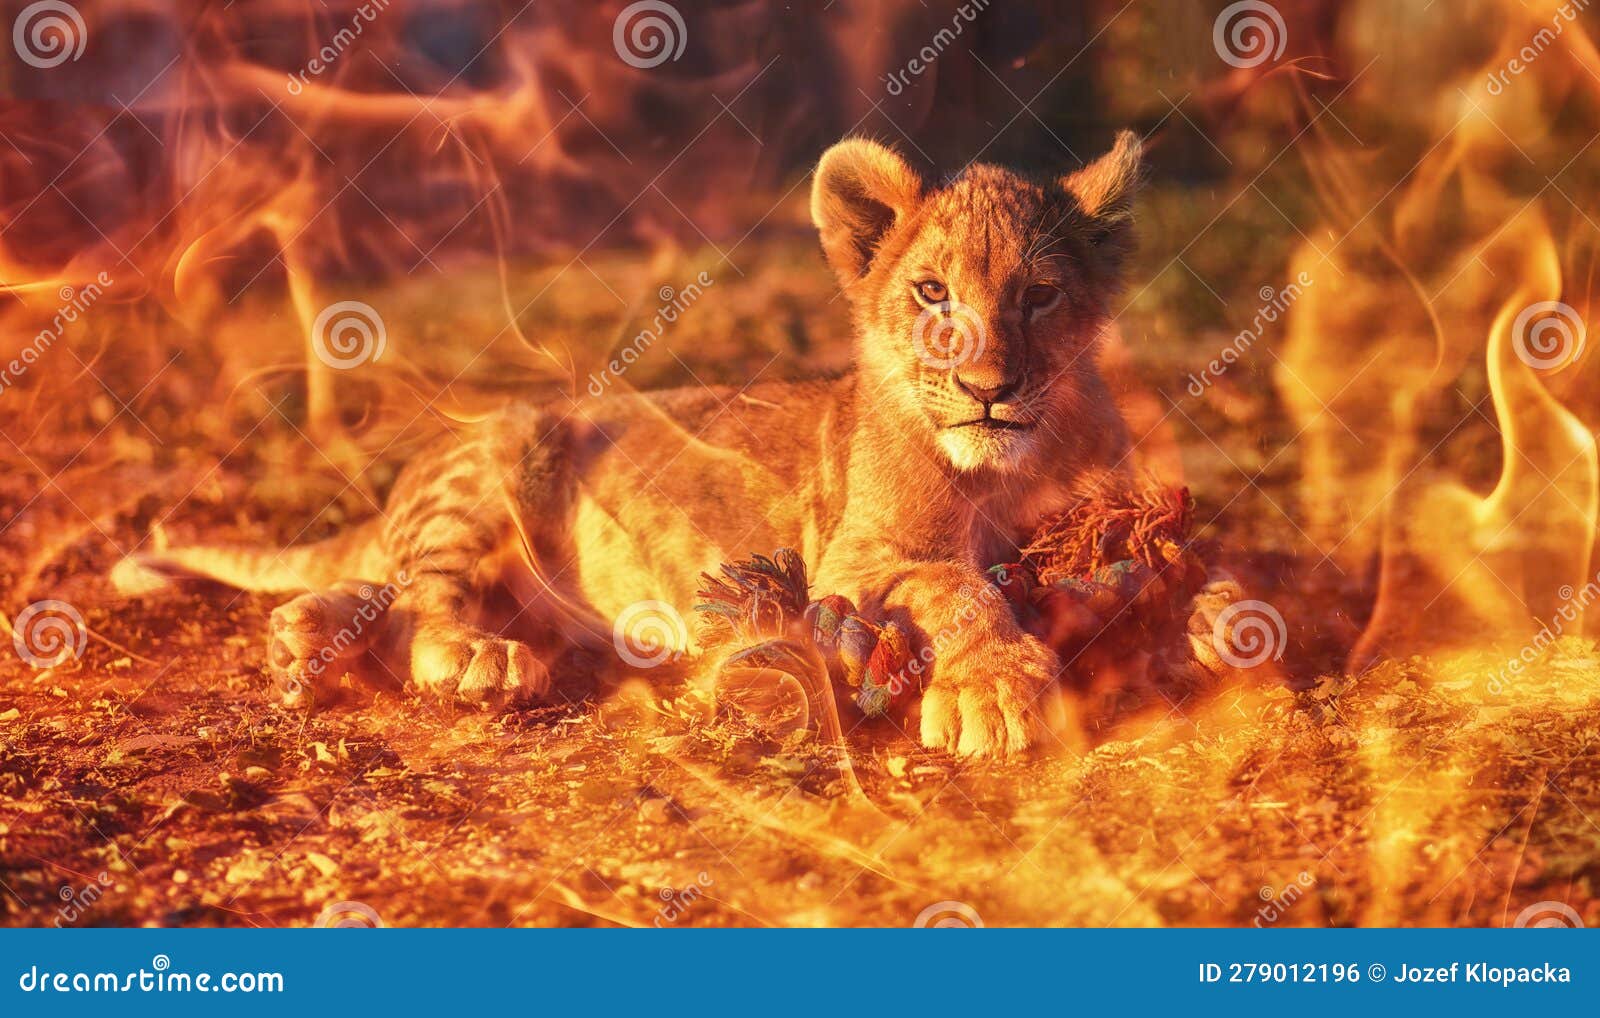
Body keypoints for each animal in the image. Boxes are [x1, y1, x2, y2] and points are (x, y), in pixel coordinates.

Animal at [113, 131, 1147, 758]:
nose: (989, 390)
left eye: (1039, 296)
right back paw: (466, 657)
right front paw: (997, 689)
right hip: (496, 459)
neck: (1010, 468)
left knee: (385, 593)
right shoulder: (852, 560)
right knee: (420, 607)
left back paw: (302, 633)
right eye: (933, 292)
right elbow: (955, 582)